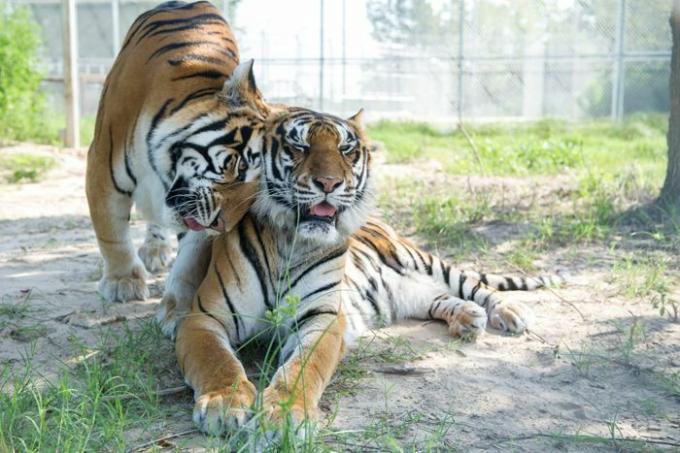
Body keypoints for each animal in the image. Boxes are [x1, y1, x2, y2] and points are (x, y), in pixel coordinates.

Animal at [86, 1, 272, 306]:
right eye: (240, 166)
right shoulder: (102, 166)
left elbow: (193, 257)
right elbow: (110, 231)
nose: (221, 226)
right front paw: (123, 282)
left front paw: (179, 306)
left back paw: (156, 249)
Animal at [170, 106, 564, 434]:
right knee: (439, 299)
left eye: (346, 150)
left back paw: (508, 313)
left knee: (477, 286)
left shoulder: (322, 319)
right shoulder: (205, 317)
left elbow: (302, 371)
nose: (329, 184)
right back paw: (468, 319)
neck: (289, 242)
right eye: (299, 147)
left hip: (421, 259)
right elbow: (218, 360)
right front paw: (224, 404)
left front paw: (284, 417)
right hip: (409, 292)